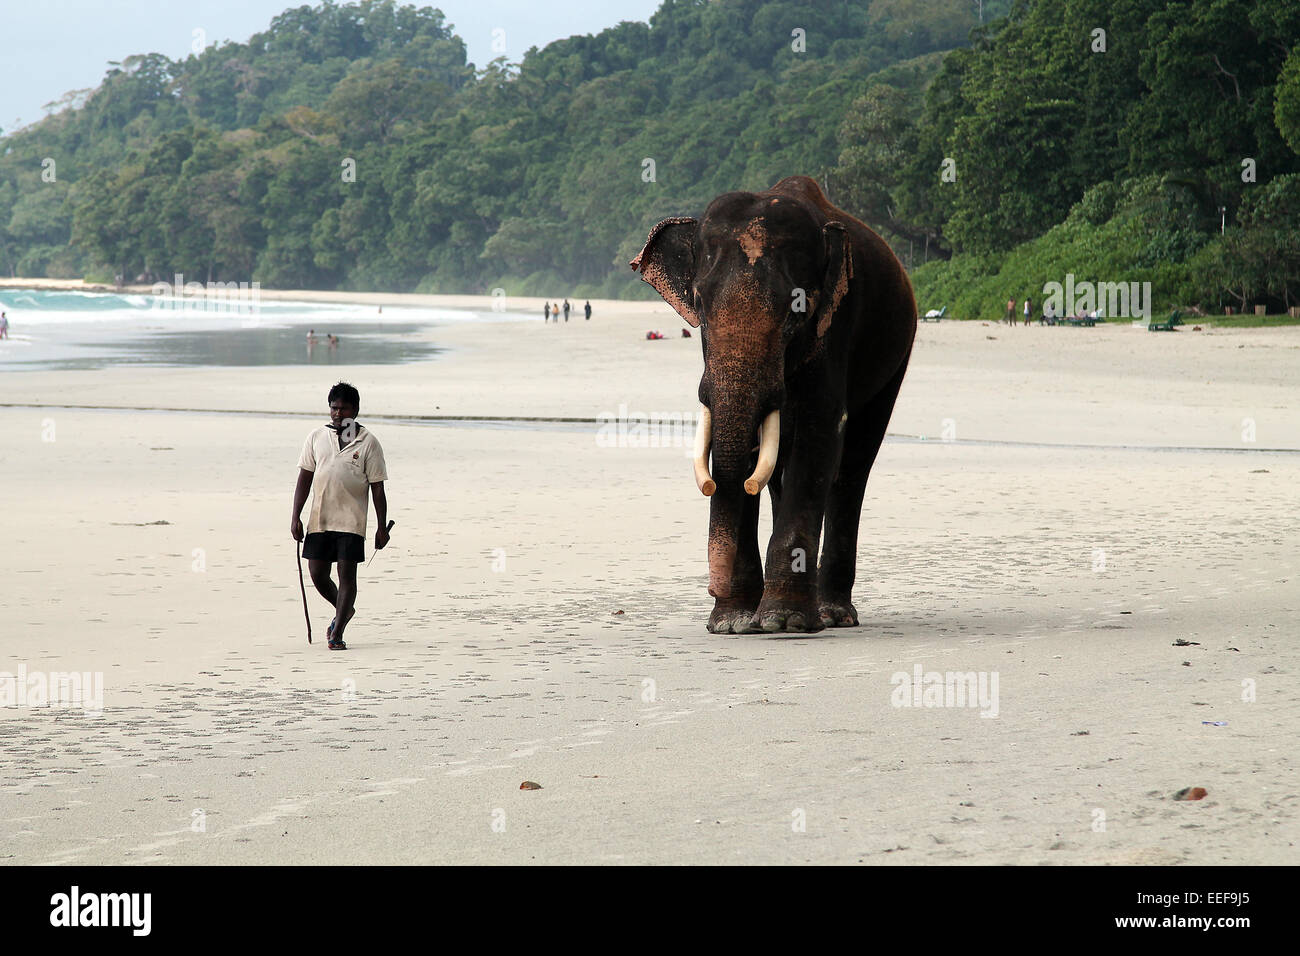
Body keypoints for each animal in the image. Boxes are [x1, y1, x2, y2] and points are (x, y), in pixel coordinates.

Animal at [630, 175, 916, 634]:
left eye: (796, 310)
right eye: (700, 304)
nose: (712, 588)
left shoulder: (836, 324)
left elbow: (821, 434)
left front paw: (785, 622)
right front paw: (734, 624)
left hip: (895, 358)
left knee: (853, 467)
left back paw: (833, 614)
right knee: (783, 474)